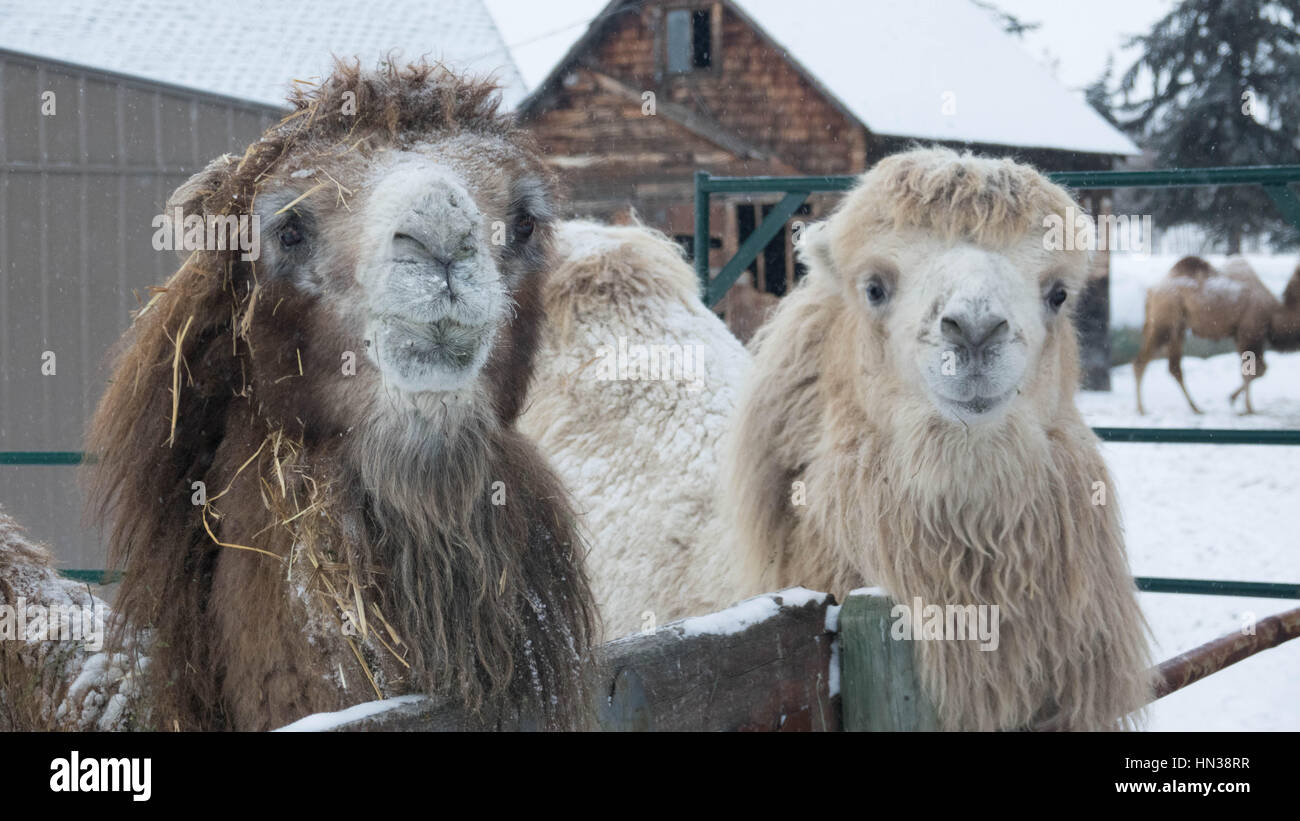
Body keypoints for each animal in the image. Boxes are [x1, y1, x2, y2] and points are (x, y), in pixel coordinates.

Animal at [1134, 255, 1300, 414]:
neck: (1274, 313)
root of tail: (1151, 292)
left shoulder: (1240, 334)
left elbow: (1257, 369)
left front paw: (1237, 401)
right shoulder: (1250, 331)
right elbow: (1256, 369)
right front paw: (1246, 407)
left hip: (1176, 327)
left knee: (1174, 368)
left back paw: (1196, 408)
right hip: (1164, 321)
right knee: (1142, 362)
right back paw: (1142, 409)